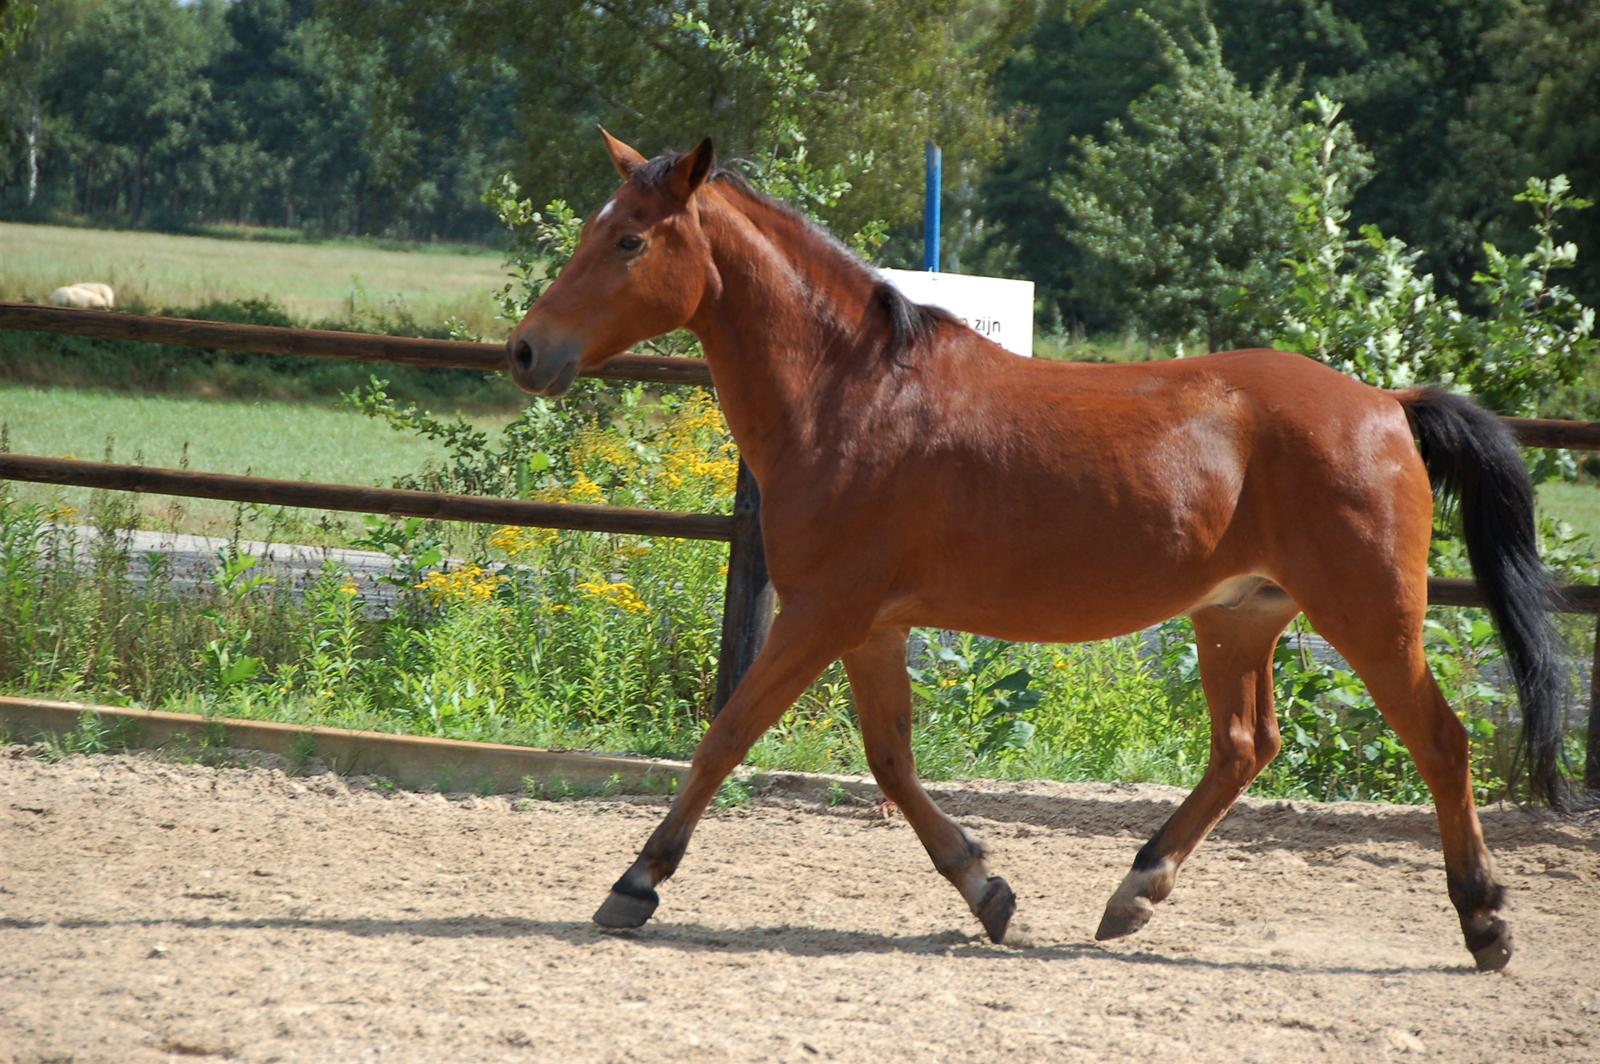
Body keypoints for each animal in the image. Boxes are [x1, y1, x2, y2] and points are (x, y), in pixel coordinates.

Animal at [505, 130, 1568, 971]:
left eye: (631, 238)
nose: (524, 351)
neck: (853, 396)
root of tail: (1387, 404)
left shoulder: (819, 614)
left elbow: (725, 737)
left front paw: (635, 884)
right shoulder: (868, 626)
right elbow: (890, 762)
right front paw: (991, 893)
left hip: (1369, 614)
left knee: (1441, 744)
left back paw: (1484, 923)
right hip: (1238, 618)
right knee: (1245, 747)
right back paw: (1134, 893)